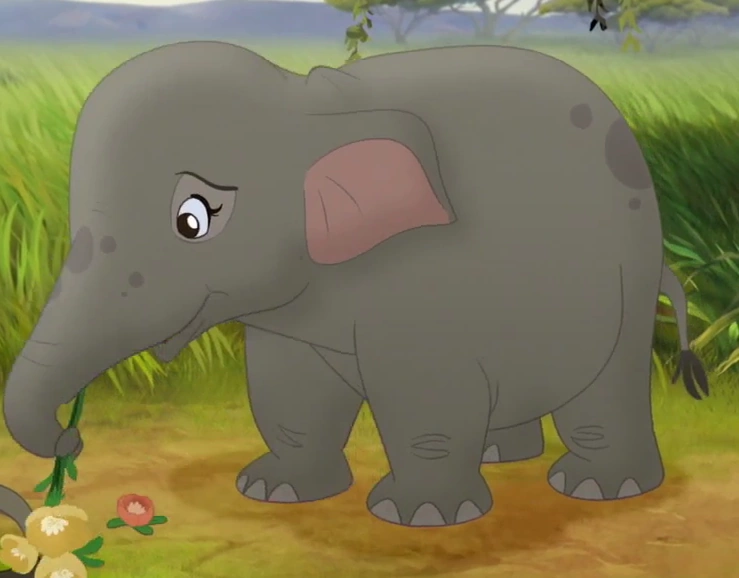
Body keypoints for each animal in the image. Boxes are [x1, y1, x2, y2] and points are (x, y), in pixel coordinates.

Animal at [2, 41, 709, 528]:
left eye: (194, 219)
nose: (72, 439)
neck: (307, 105)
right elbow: (287, 388)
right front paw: (275, 490)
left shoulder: (423, 275)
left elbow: (425, 393)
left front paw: (421, 515)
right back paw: (502, 455)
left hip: (629, 268)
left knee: (607, 383)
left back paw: (599, 487)